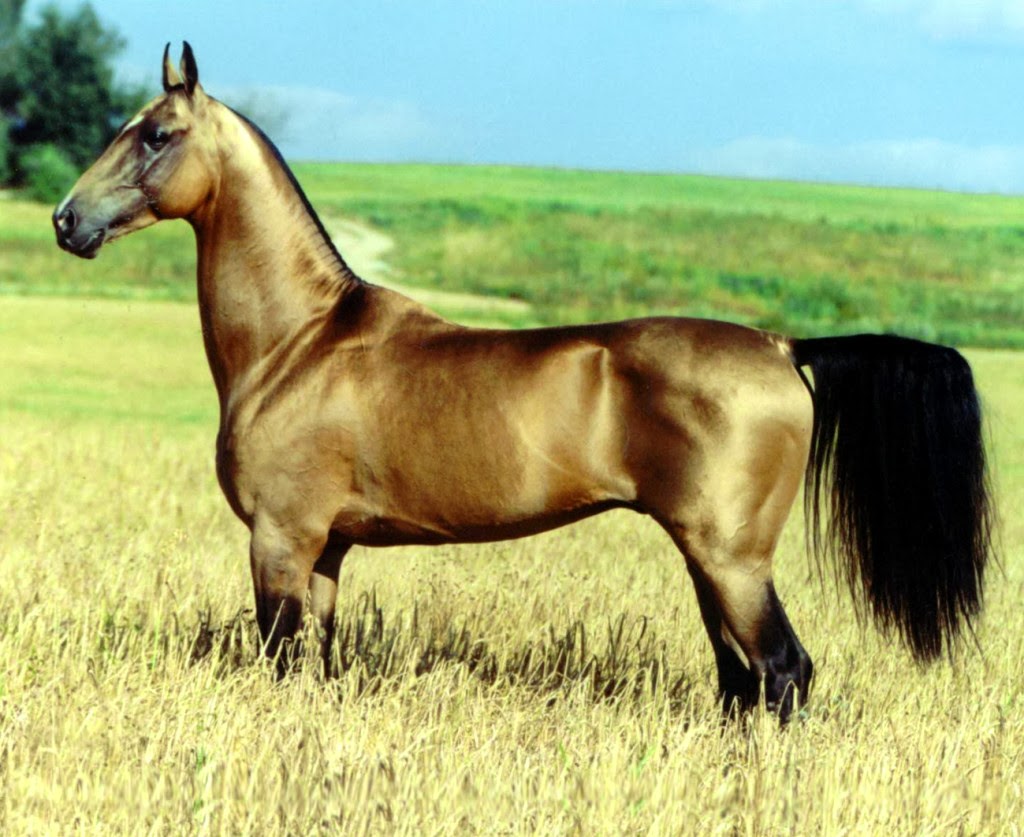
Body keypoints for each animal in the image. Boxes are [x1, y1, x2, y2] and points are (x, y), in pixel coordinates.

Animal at [53, 43, 993, 720]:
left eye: (155, 134)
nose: (68, 220)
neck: (300, 342)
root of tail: (779, 341)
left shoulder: (281, 540)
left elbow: (283, 665)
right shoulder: (325, 549)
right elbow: (315, 667)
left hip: (733, 560)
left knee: (784, 669)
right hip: (708, 558)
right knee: (742, 680)